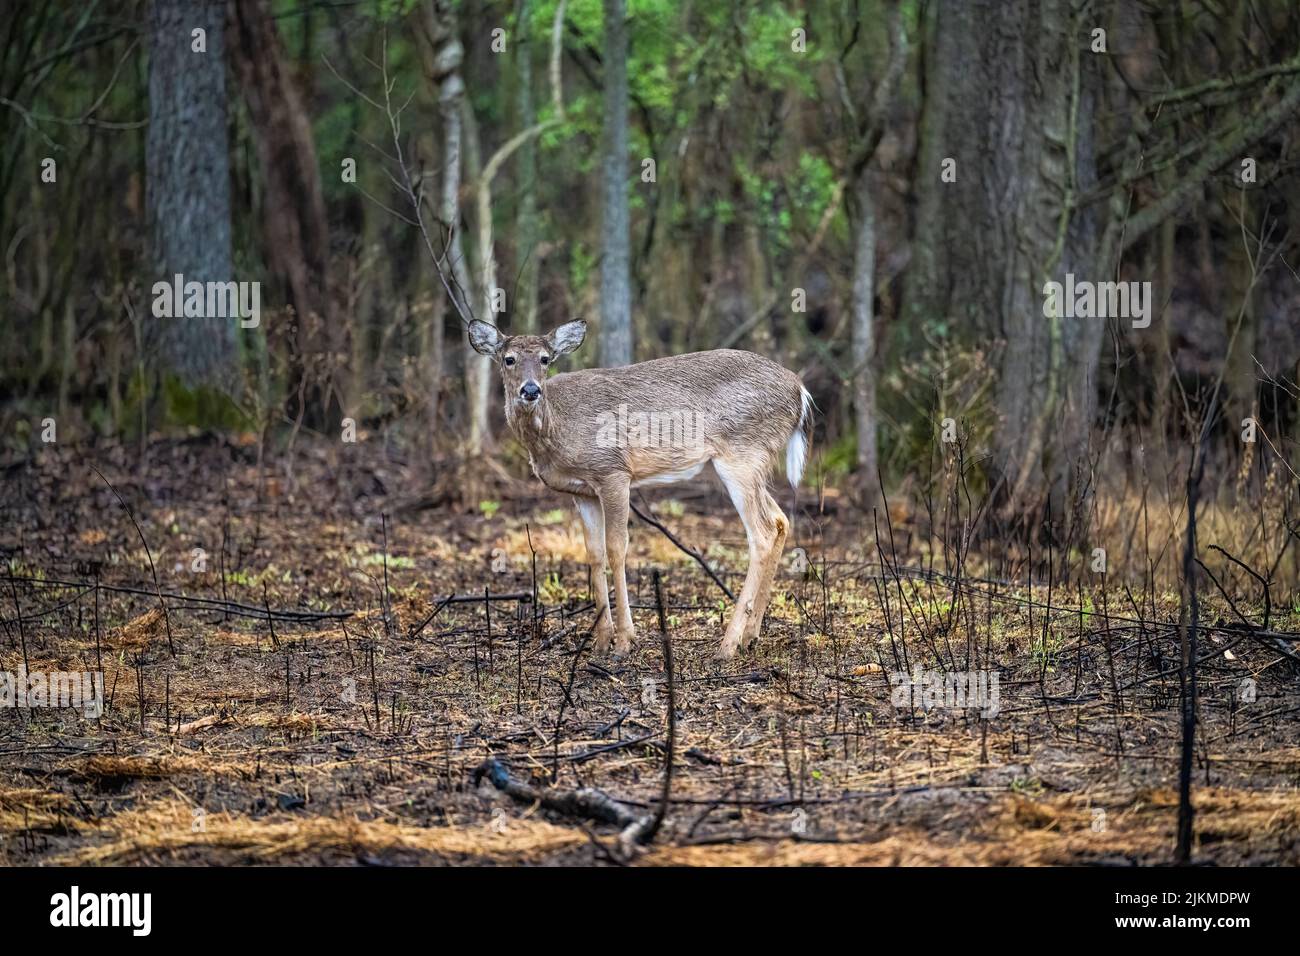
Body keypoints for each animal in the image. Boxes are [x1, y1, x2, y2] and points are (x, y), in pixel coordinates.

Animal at [469, 318, 813, 660]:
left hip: (741, 455)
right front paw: (601, 641)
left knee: (762, 534)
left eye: (544, 359)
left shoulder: (613, 471)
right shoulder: (582, 492)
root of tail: (800, 389)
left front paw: (624, 641)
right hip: (751, 463)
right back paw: (750, 636)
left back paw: (727, 645)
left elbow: (617, 549)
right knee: (780, 520)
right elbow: (594, 554)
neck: (558, 428)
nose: (531, 390)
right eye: (508, 359)